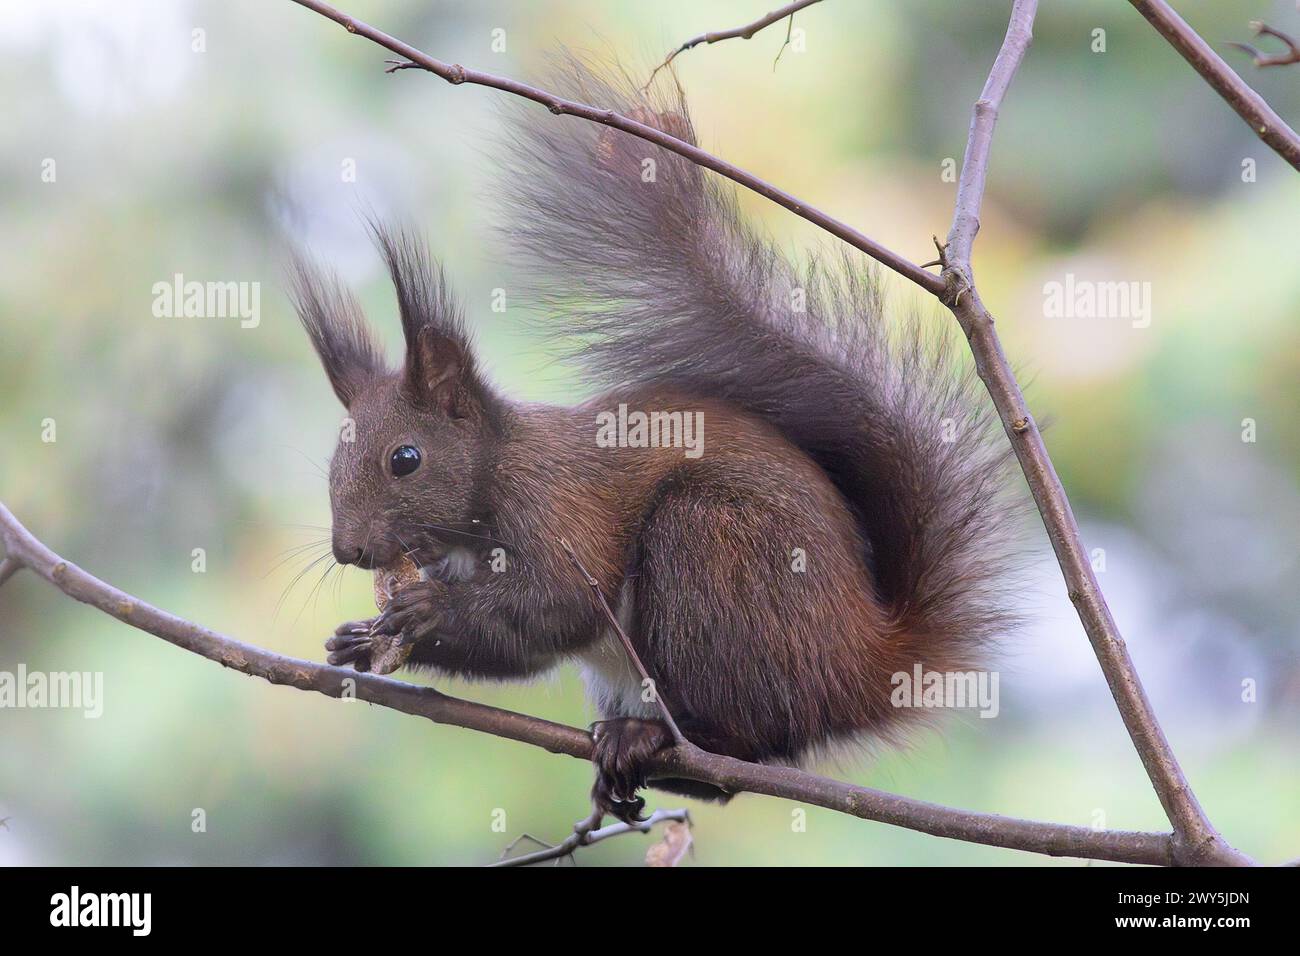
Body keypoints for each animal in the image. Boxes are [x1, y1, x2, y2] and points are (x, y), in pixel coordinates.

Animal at [291, 61, 1021, 823]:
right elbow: (519, 650)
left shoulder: (558, 508)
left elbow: (555, 606)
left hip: (715, 549)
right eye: (334, 458)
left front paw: (429, 611)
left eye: (405, 459)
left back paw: (653, 738)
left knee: (748, 739)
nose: (349, 551)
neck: (493, 473)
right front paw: (358, 639)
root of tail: (864, 663)